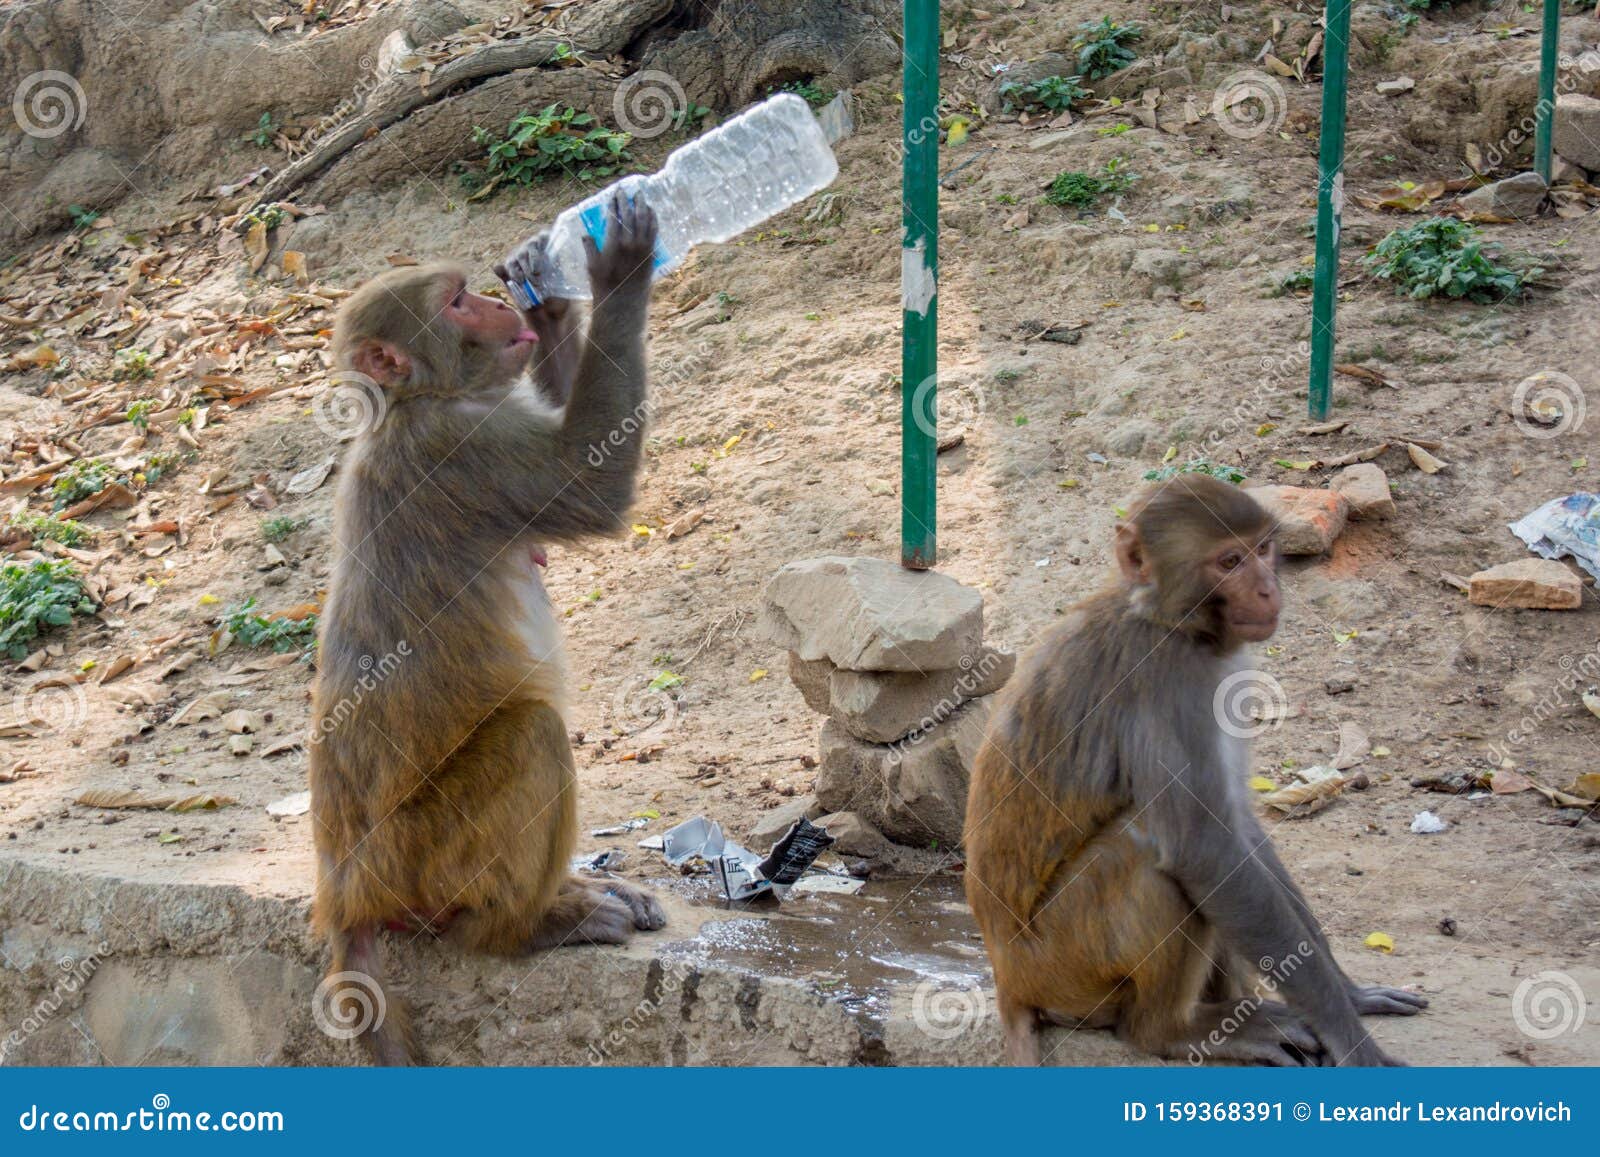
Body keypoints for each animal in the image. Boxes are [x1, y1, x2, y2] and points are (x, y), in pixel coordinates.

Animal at [308, 192, 666, 1066]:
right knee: (533, 733)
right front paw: (617, 268)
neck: (418, 402)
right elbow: (588, 477)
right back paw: (523, 928)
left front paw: (555, 296)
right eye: (456, 302)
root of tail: (346, 892)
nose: (503, 306)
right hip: (423, 857)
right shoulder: (463, 450)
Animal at [963, 474, 1427, 1067]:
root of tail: (1007, 979)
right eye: (1228, 562)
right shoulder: (1163, 682)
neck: (1170, 622)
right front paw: (1354, 1042)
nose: (1267, 590)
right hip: (1064, 968)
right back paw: (1171, 1030)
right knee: (1147, 851)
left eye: (1261, 550)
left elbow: (1239, 828)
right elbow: (1205, 850)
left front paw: (1350, 995)